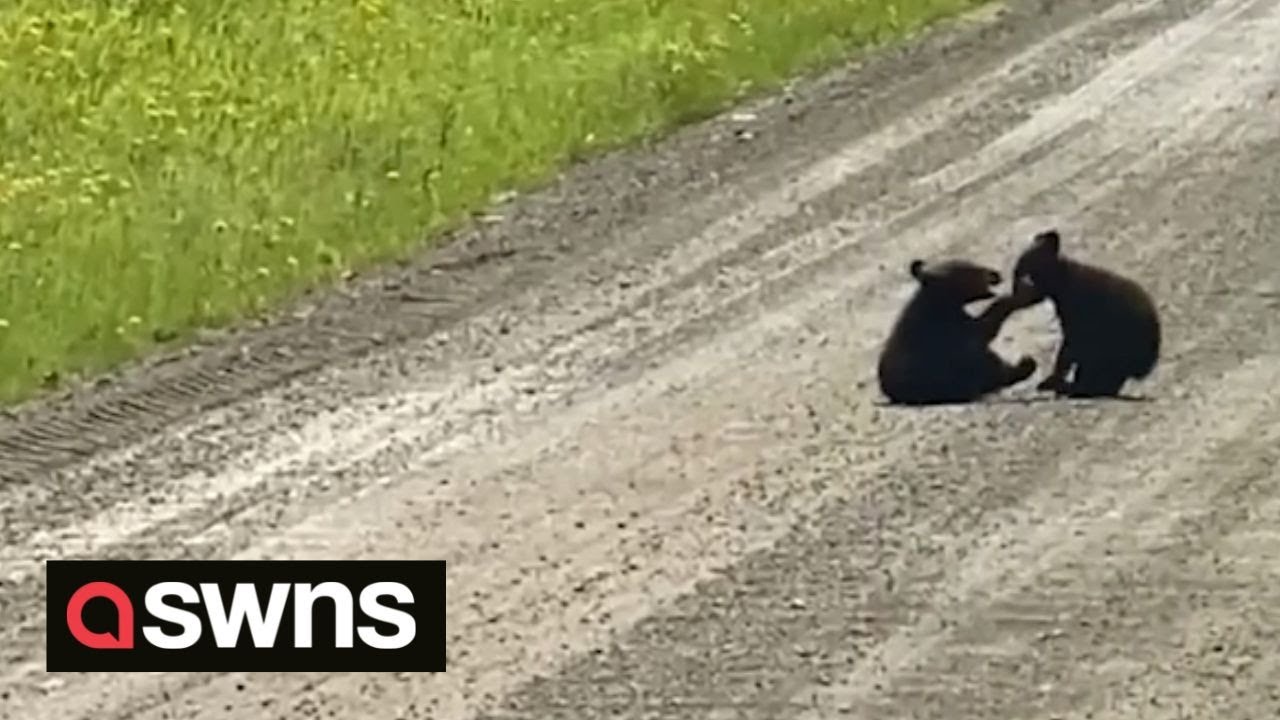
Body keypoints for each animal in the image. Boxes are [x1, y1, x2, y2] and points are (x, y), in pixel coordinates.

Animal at [876, 257, 1041, 406]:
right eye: (968, 268)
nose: (995, 273)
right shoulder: (946, 329)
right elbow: (983, 330)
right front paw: (1022, 294)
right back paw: (1023, 366)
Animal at [1010, 228, 1161, 398]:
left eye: (1025, 275)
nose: (1013, 291)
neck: (1063, 282)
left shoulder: (1079, 323)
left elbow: (1066, 355)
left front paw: (1053, 381)